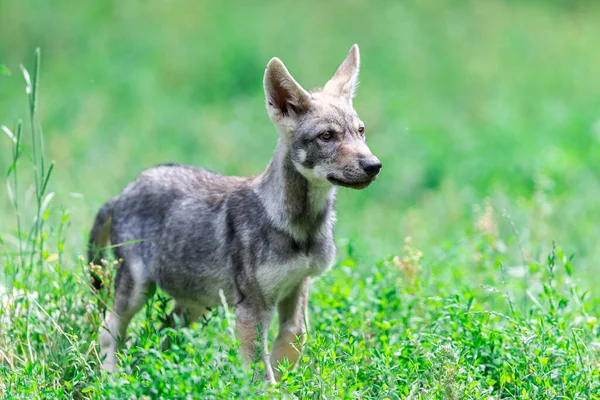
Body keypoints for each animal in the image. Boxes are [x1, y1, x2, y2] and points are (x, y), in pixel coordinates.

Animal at [88, 43, 380, 382]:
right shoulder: (251, 309)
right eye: (327, 136)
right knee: (109, 331)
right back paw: (111, 381)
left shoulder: (297, 288)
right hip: (138, 291)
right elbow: (262, 377)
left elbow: (289, 348)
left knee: (164, 334)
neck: (301, 229)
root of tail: (121, 193)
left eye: (361, 131)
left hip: (197, 305)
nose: (373, 165)